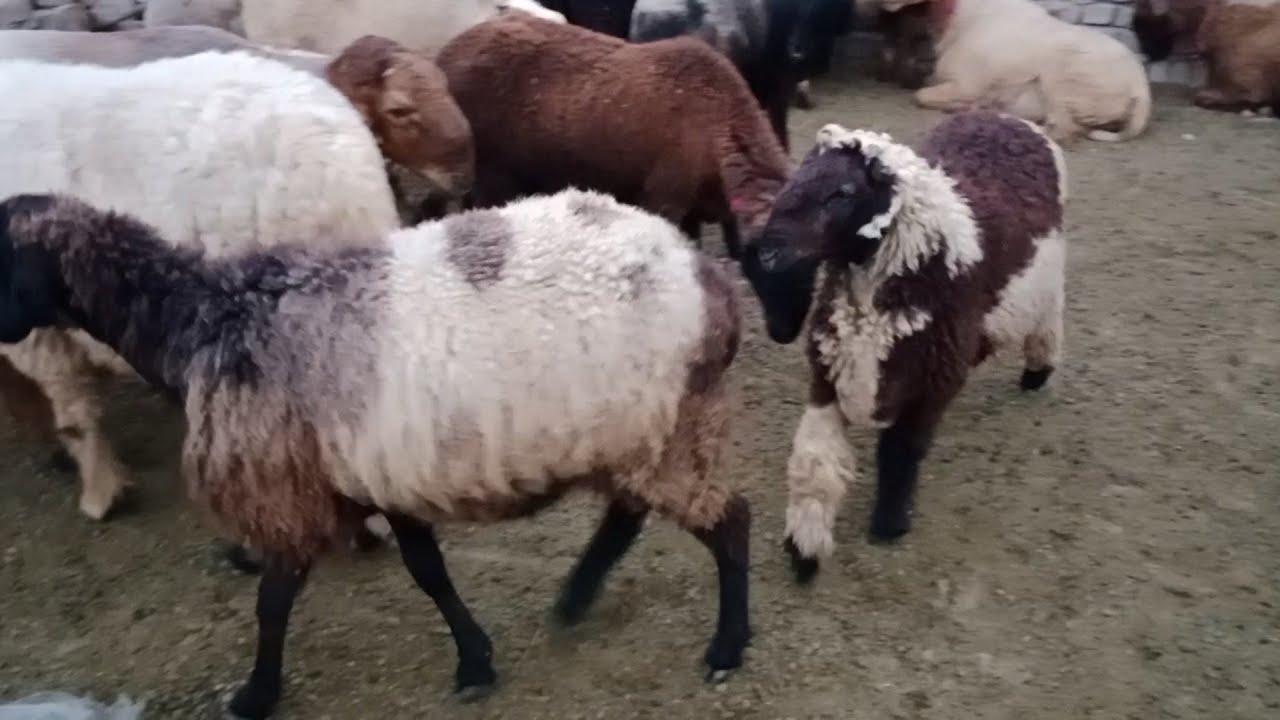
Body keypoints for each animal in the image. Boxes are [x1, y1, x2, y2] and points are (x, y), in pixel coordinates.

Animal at [0, 187, 751, 719]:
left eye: (3, 256)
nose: (3, 330)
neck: (204, 320)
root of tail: (707, 279)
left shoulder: (291, 490)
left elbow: (272, 603)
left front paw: (255, 696)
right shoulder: (374, 475)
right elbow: (428, 572)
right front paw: (475, 661)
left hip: (668, 420)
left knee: (728, 520)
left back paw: (726, 645)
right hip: (638, 431)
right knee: (631, 513)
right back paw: (575, 596)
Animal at [739, 111, 1067, 581]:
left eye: (843, 193)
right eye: (798, 175)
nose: (769, 252)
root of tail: (1006, 116)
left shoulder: (931, 387)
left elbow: (899, 454)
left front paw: (890, 523)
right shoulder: (827, 376)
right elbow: (814, 463)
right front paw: (805, 548)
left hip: (1048, 279)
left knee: (1049, 317)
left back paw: (1038, 371)